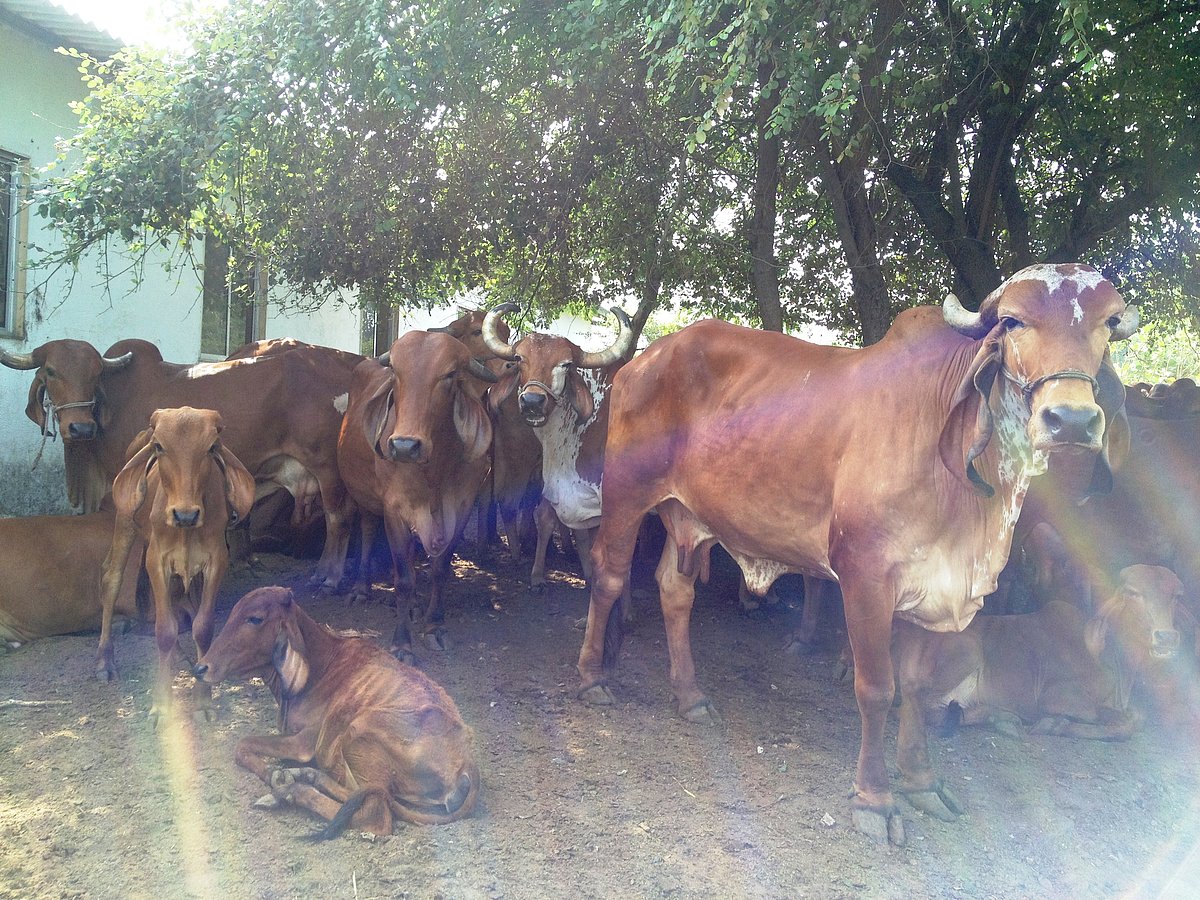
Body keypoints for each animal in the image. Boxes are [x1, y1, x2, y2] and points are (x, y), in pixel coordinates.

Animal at [0, 339, 357, 590]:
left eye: (95, 374)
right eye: (50, 371)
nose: (80, 428)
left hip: (328, 468)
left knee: (337, 520)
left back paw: (328, 576)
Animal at [96, 407, 256, 726]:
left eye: (211, 447)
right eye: (159, 446)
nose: (185, 514)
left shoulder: (216, 560)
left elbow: (202, 626)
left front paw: (203, 701)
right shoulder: (156, 560)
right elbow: (164, 631)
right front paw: (161, 706)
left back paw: (182, 657)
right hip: (125, 522)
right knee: (112, 578)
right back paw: (105, 661)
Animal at [193, 586, 479, 837]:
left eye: (255, 618)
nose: (200, 668)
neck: (320, 667)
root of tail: (467, 766)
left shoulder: (304, 743)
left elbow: (243, 744)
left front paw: (272, 773)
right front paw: (280, 773)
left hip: (356, 733)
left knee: (374, 812)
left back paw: (287, 790)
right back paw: (299, 777)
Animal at [336, 330, 497, 658]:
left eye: (449, 375)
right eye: (396, 372)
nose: (404, 446)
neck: (435, 470)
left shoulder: (462, 507)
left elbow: (440, 569)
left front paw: (434, 626)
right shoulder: (394, 509)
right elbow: (404, 580)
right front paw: (402, 643)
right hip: (365, 497)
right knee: (368, 532)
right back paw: (361, 588)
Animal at [575, 263, 1137, 845]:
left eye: (1107, 324)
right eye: (1013, 321)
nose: (1071, 420)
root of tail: (645, 358)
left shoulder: (929, 585)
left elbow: (915, 686)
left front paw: (921, 782)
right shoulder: (865, 577)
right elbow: (877, 689)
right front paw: (875, 798)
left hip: (687, 517)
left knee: (675, 591)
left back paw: (690, 696)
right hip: (626, 494)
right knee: (610, 576)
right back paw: (592, 678)